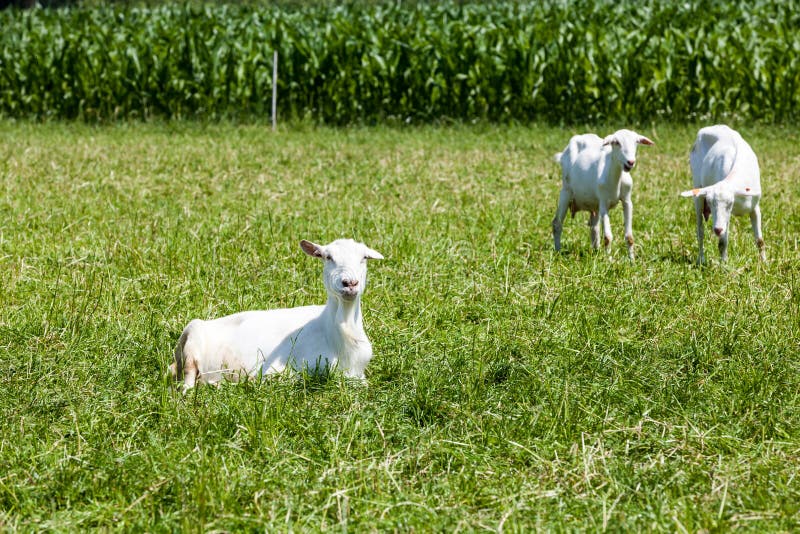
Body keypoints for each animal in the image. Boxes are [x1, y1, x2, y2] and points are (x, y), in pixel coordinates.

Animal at [552, 129, 654, 259]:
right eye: (616, 142)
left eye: (636, 141)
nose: (630, 162)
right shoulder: (603, 203)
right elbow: (607, 237)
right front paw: (609, 260)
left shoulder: (627, 200)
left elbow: (629, 237)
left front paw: (632, 260)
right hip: (566, 191)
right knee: (557, 224)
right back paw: (558, 252)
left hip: (594, 204)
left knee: (594, 228)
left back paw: (596, 252)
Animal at [680, 125, 764, 263]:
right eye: (709, 202)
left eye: (730, 203)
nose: (717, 230)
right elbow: (723, 242)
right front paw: (724, 265)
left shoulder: (754, 207)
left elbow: (760, 241)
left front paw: (764, 263)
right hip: (698, 190)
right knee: (700, 230)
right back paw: (701, 259)